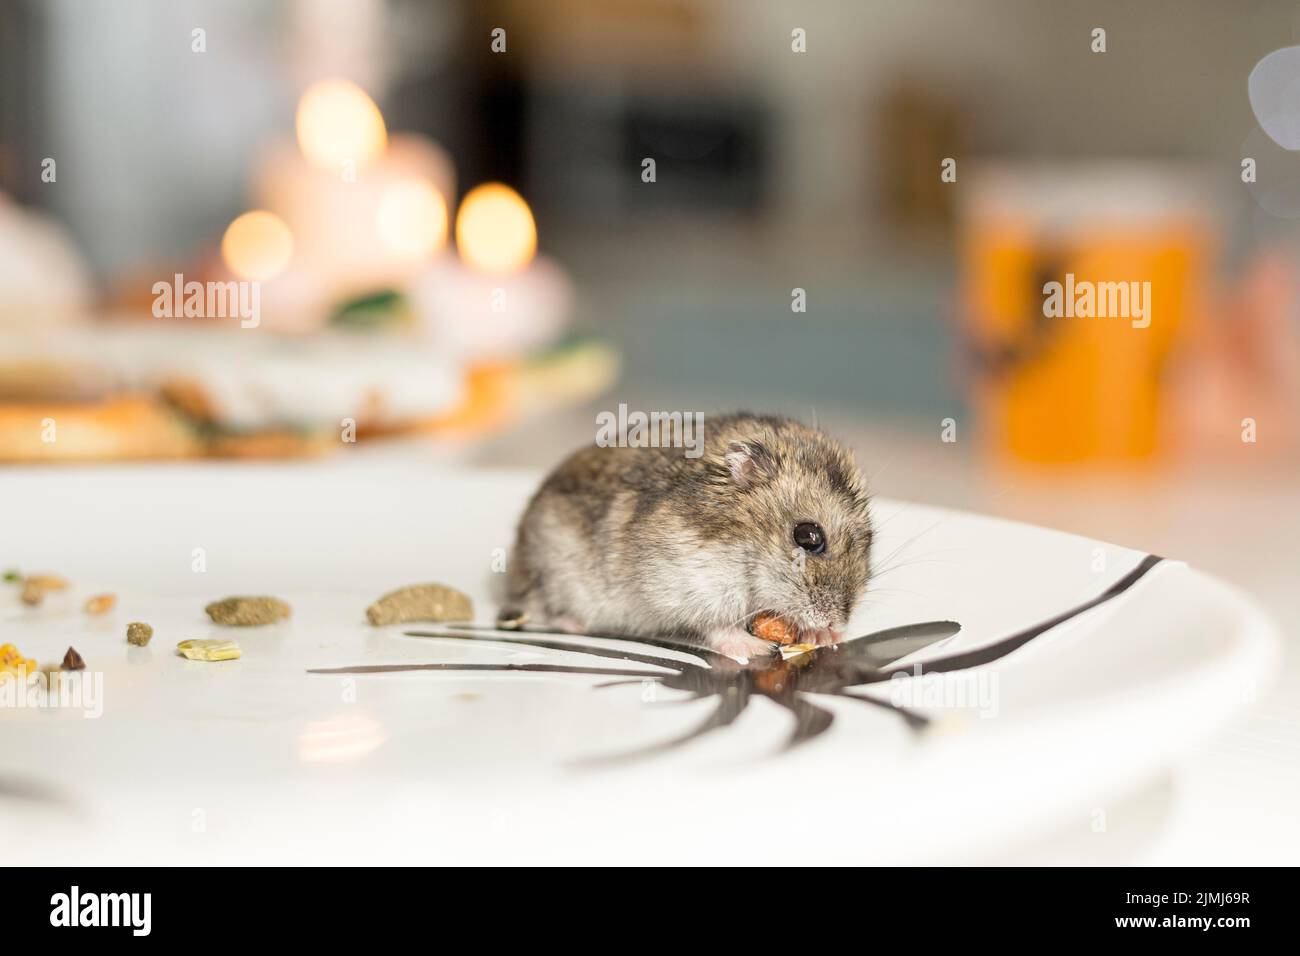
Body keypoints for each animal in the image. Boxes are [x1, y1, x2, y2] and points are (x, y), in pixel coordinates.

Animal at [503, 413, 874, 661]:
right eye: (808, 537)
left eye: (869, 541)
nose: (840, 620)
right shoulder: (689, 584)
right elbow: (716, 624)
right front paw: (756, 648)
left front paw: (825, 636)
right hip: (551, 574)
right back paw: (575, 625)